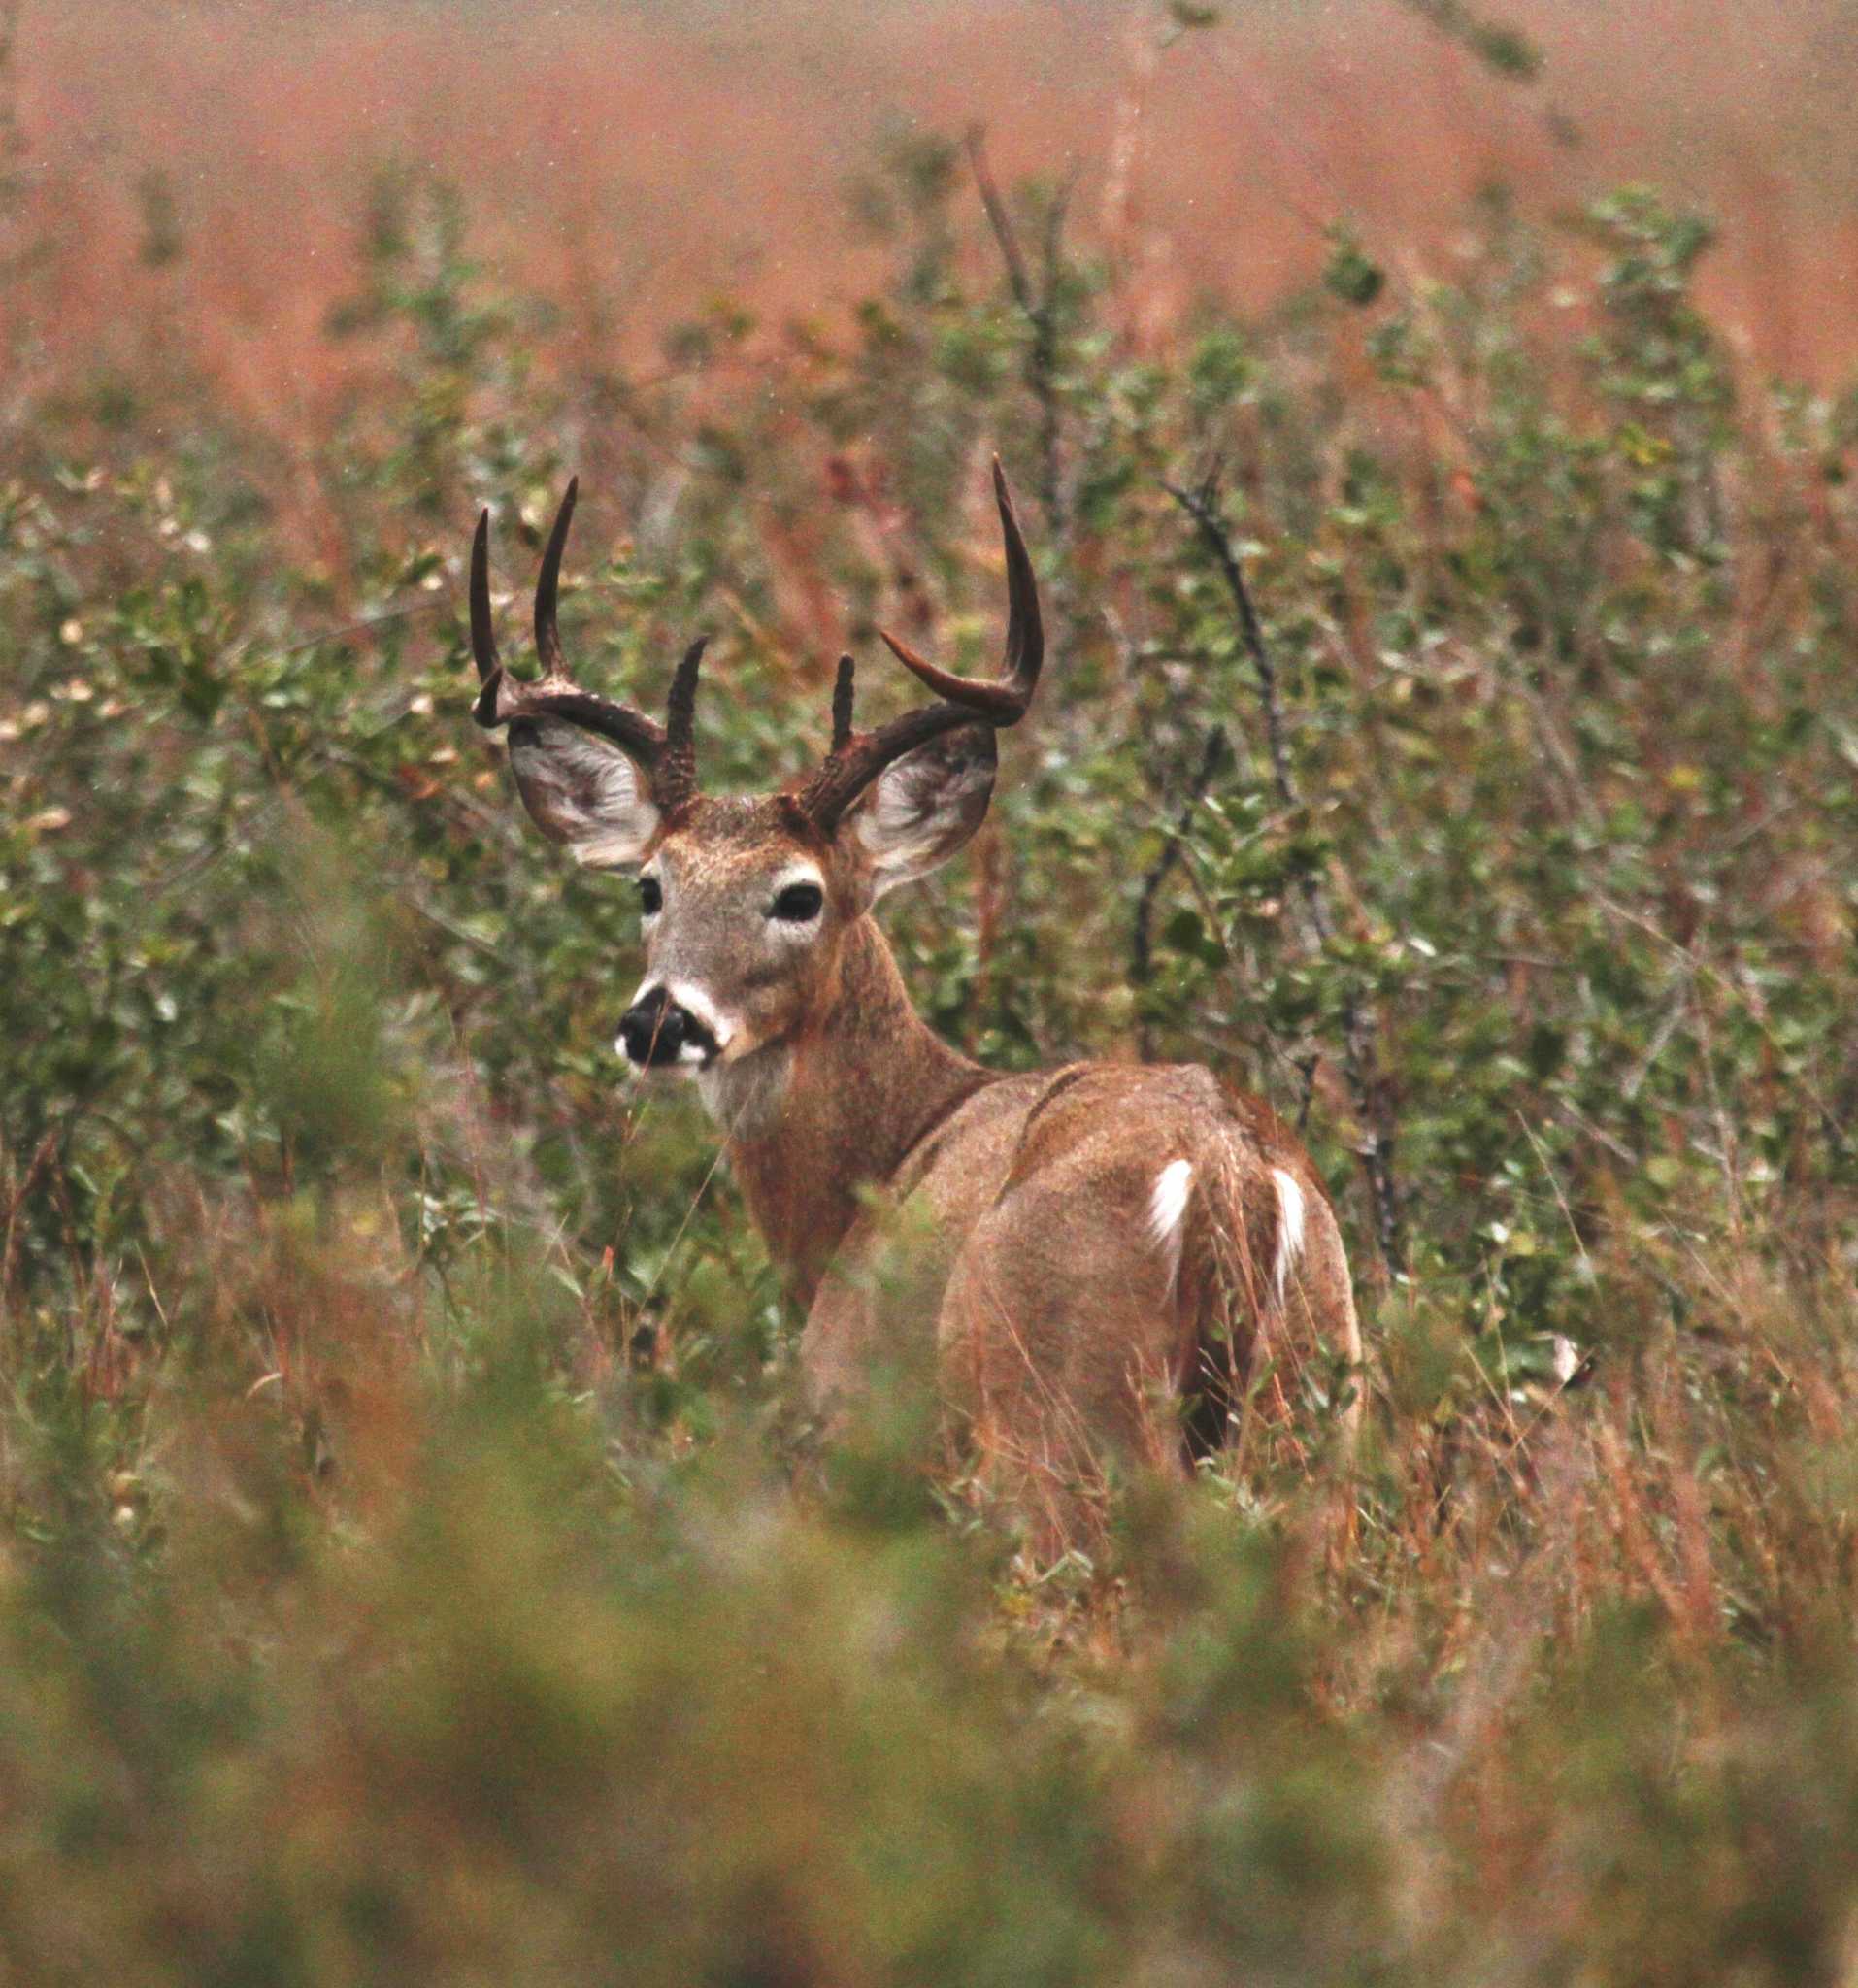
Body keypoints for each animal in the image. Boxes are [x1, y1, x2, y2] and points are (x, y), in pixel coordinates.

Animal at [464, 461, 1362, 1546]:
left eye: (799, 895)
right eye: (650, 885)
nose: (660, 1021)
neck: (880, 1157)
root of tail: (1231, 1177)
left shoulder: (849, 1417)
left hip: (1055, 1405)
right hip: (1313, 1418)